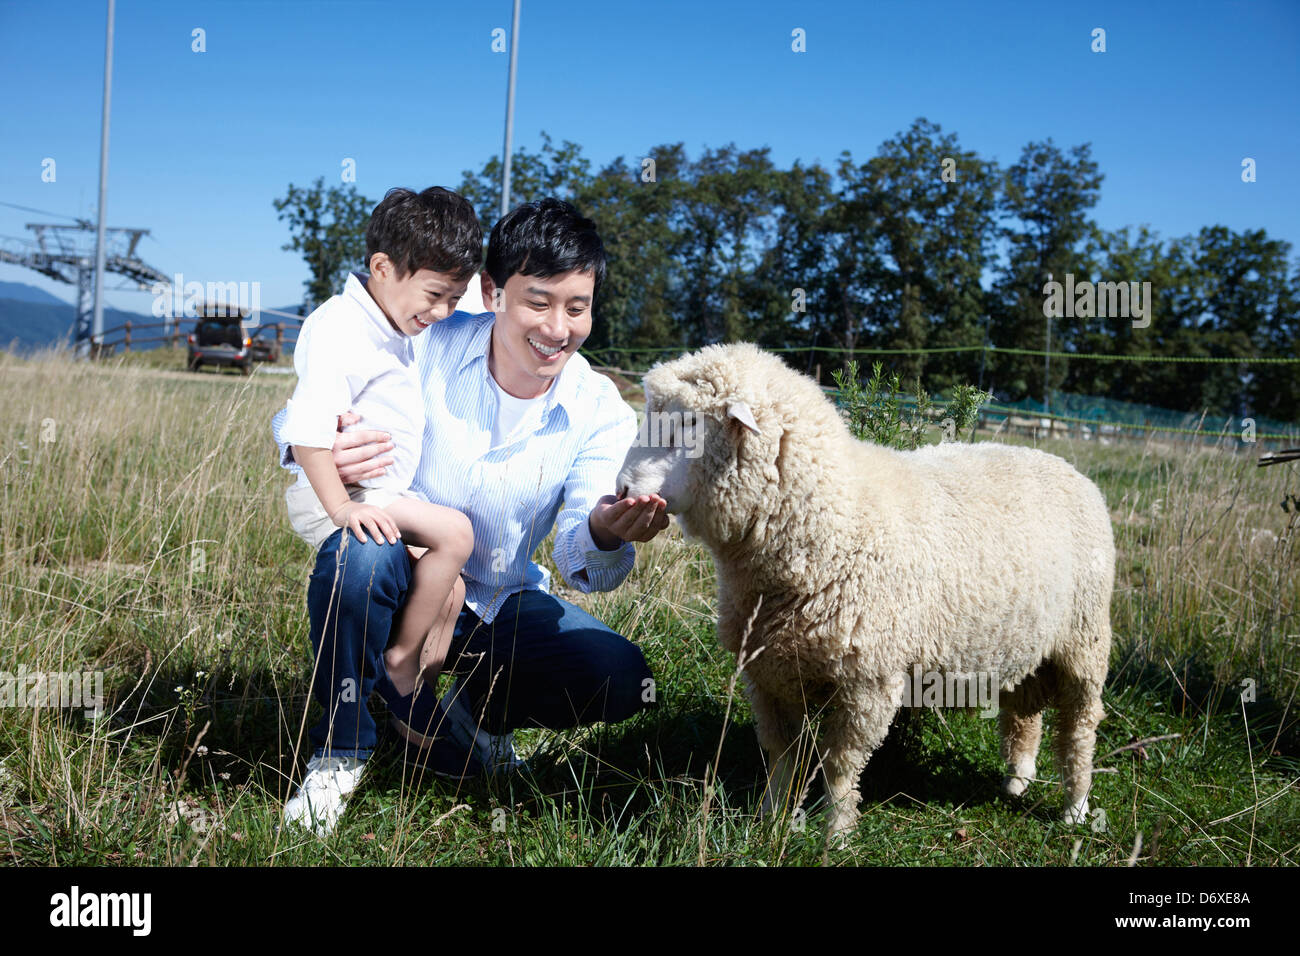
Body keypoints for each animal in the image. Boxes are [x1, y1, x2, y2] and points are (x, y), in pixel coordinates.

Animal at [616, 343, 1115, 842]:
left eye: (689, 423)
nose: (621, 489)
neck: (834, 521)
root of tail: (1062, 464)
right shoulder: (770, 671)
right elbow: (781, 755)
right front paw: (771, 818)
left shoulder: (868, 679)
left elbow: (840, 764)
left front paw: (835, 833)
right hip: (1026, 641)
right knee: (1024, 712)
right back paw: (1017, 779)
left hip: (1084, 643)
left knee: (1079, 730)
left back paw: (1076, 807)